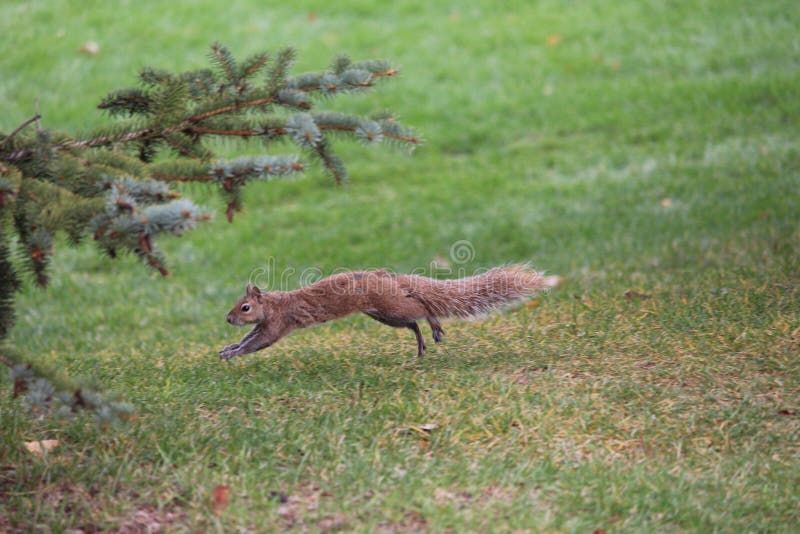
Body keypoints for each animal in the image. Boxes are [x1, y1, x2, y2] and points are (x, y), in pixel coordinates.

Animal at [218, 264, 557, 360]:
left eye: (245, 307)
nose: (228, 318)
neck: (273, 304)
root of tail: (390, 278)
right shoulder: (263, 325)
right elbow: (249, 338)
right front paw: (229, 347)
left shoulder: (277, 324)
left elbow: (257, 344)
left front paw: (233, 354)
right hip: (385, 315)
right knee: (413, 322)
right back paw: (421, 344)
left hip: (390, 306)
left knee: (420, 307)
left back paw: (434, 326)